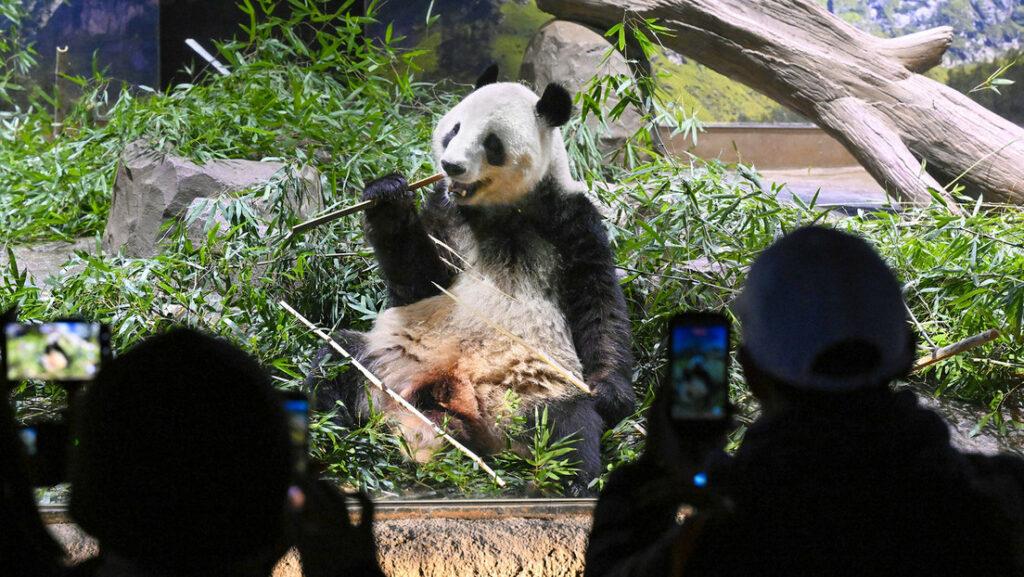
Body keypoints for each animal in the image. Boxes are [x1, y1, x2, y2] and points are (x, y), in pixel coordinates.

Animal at [307, 65, 635, 494]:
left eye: (491, 143)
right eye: (454, 129)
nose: (451, 165)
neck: (496, 210)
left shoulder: (570, 220)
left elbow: (597, 300)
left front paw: (610, 393)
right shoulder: (445, 213)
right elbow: (419, 282)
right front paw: (388, 196)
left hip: (537, 394)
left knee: (570, 436)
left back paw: (566, 484)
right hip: (389, 361)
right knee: (335, 362)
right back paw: (330, 431)